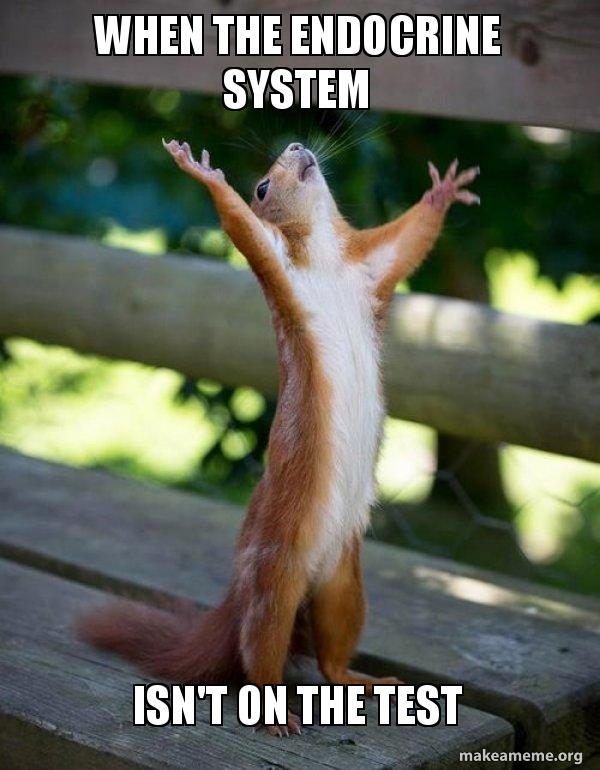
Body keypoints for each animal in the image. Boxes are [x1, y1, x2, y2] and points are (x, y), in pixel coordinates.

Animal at [79, 138, 479, 736]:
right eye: (262, 186)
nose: (296, 146)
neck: (328, 259)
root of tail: (240, 593)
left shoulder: (371, 267)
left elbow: (408, 241)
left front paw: (443, 191)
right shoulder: (278, 266)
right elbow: (242, 227)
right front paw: (203, 173)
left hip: (344, 584)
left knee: (332, 655)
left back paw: (361, 680)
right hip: (275, 579)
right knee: (259, 654)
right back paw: (276, 714)